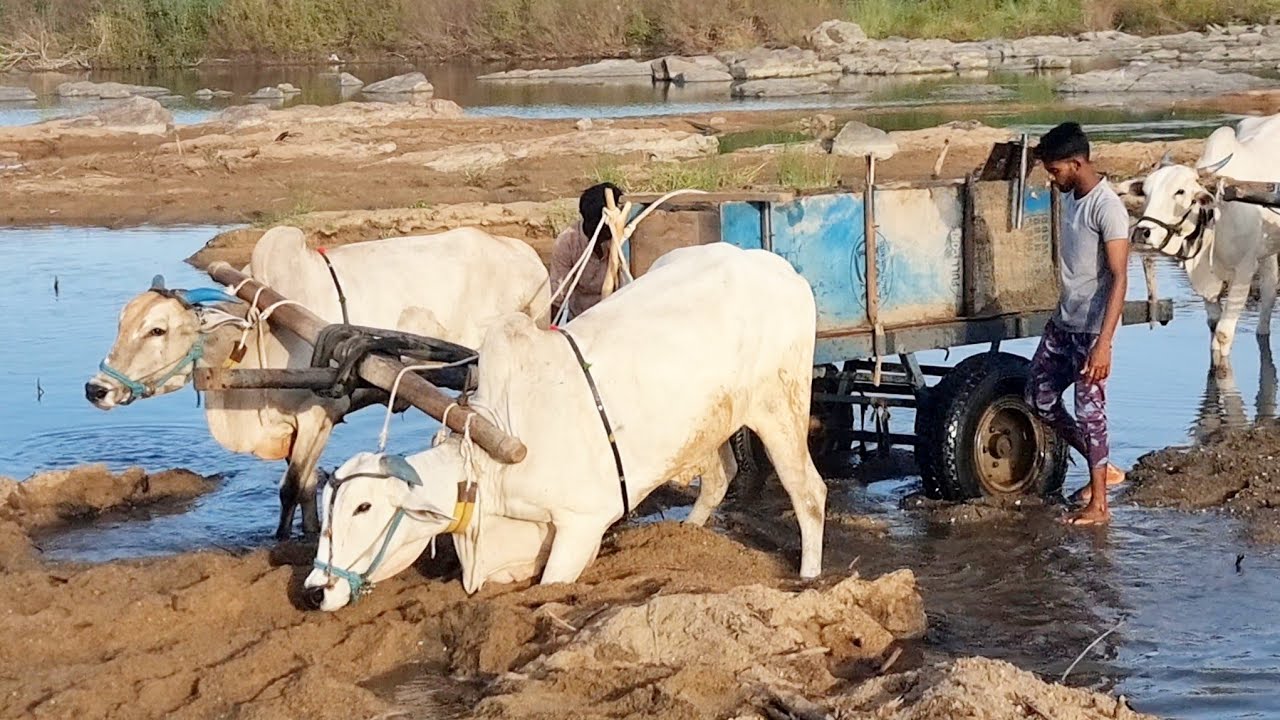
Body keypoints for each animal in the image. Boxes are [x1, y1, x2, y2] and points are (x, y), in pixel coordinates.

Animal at [85, 226, 550, 540]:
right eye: (122, 323)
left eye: (157, 330)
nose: (96, 389)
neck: (260, 336)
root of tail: (526, 256)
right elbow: (308, 486)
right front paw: (308, 530)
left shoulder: (317, 415)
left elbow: (291, 488)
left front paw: (279, 539)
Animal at [303, 242, 827, 611]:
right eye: (328, 507)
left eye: (364, 507)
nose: (314, 590)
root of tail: (778, 268)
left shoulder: (582, 523)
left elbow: (552, 583)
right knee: (719, 477)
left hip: (779, 407)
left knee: (809, 494)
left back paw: (808, 576)